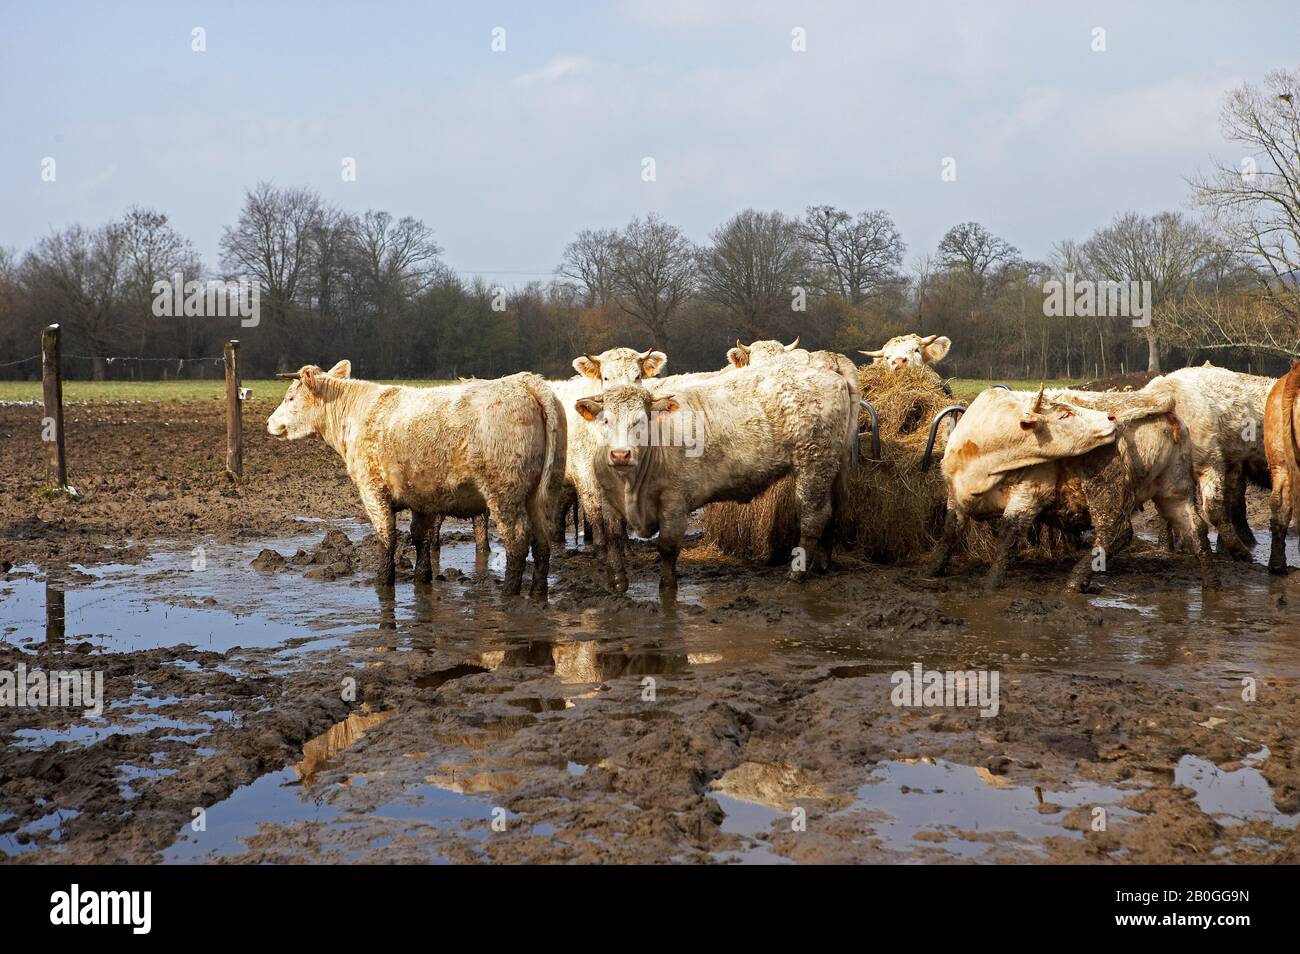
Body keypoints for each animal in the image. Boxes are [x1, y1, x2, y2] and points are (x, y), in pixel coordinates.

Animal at [266, 361, 564, 598]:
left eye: (290, 398)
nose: (269, 423)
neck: (356, 414)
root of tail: (523, 381)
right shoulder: (423, 497)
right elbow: (421, 539)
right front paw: (423, 578)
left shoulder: (372, 491)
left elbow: (387, 537)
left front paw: (383, 580)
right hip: (538, 494)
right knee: (541, 540)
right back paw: (538, 591)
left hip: (503, 493)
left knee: (517, 539)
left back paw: (509, 593)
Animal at [573, 362, 854, 594]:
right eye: (605, 420)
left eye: (640, 421)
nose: (620, 454)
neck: (631, 485)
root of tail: (830, 371)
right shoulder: (608, 499)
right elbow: (614, 538)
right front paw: (618, 583)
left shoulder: (675, 502)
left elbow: (667, 547)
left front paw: (667, 587)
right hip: (829, 467)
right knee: (830, 511)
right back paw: (822, 564)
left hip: (814, 462)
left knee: (812, 518)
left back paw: (797, 573)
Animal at [928, 385, 1218, 593]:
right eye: (1065, 413)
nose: (1110, 417)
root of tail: (1161, 406)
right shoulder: (955, 496)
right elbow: (950, 531)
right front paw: (932, 569)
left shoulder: (1030, 493)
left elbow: (1008, 536)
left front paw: (990, 584)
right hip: (1174, 490)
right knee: (1195, 529)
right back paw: (1210, 583)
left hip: (1104, 485)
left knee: (1116, 533)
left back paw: (1075, 581)